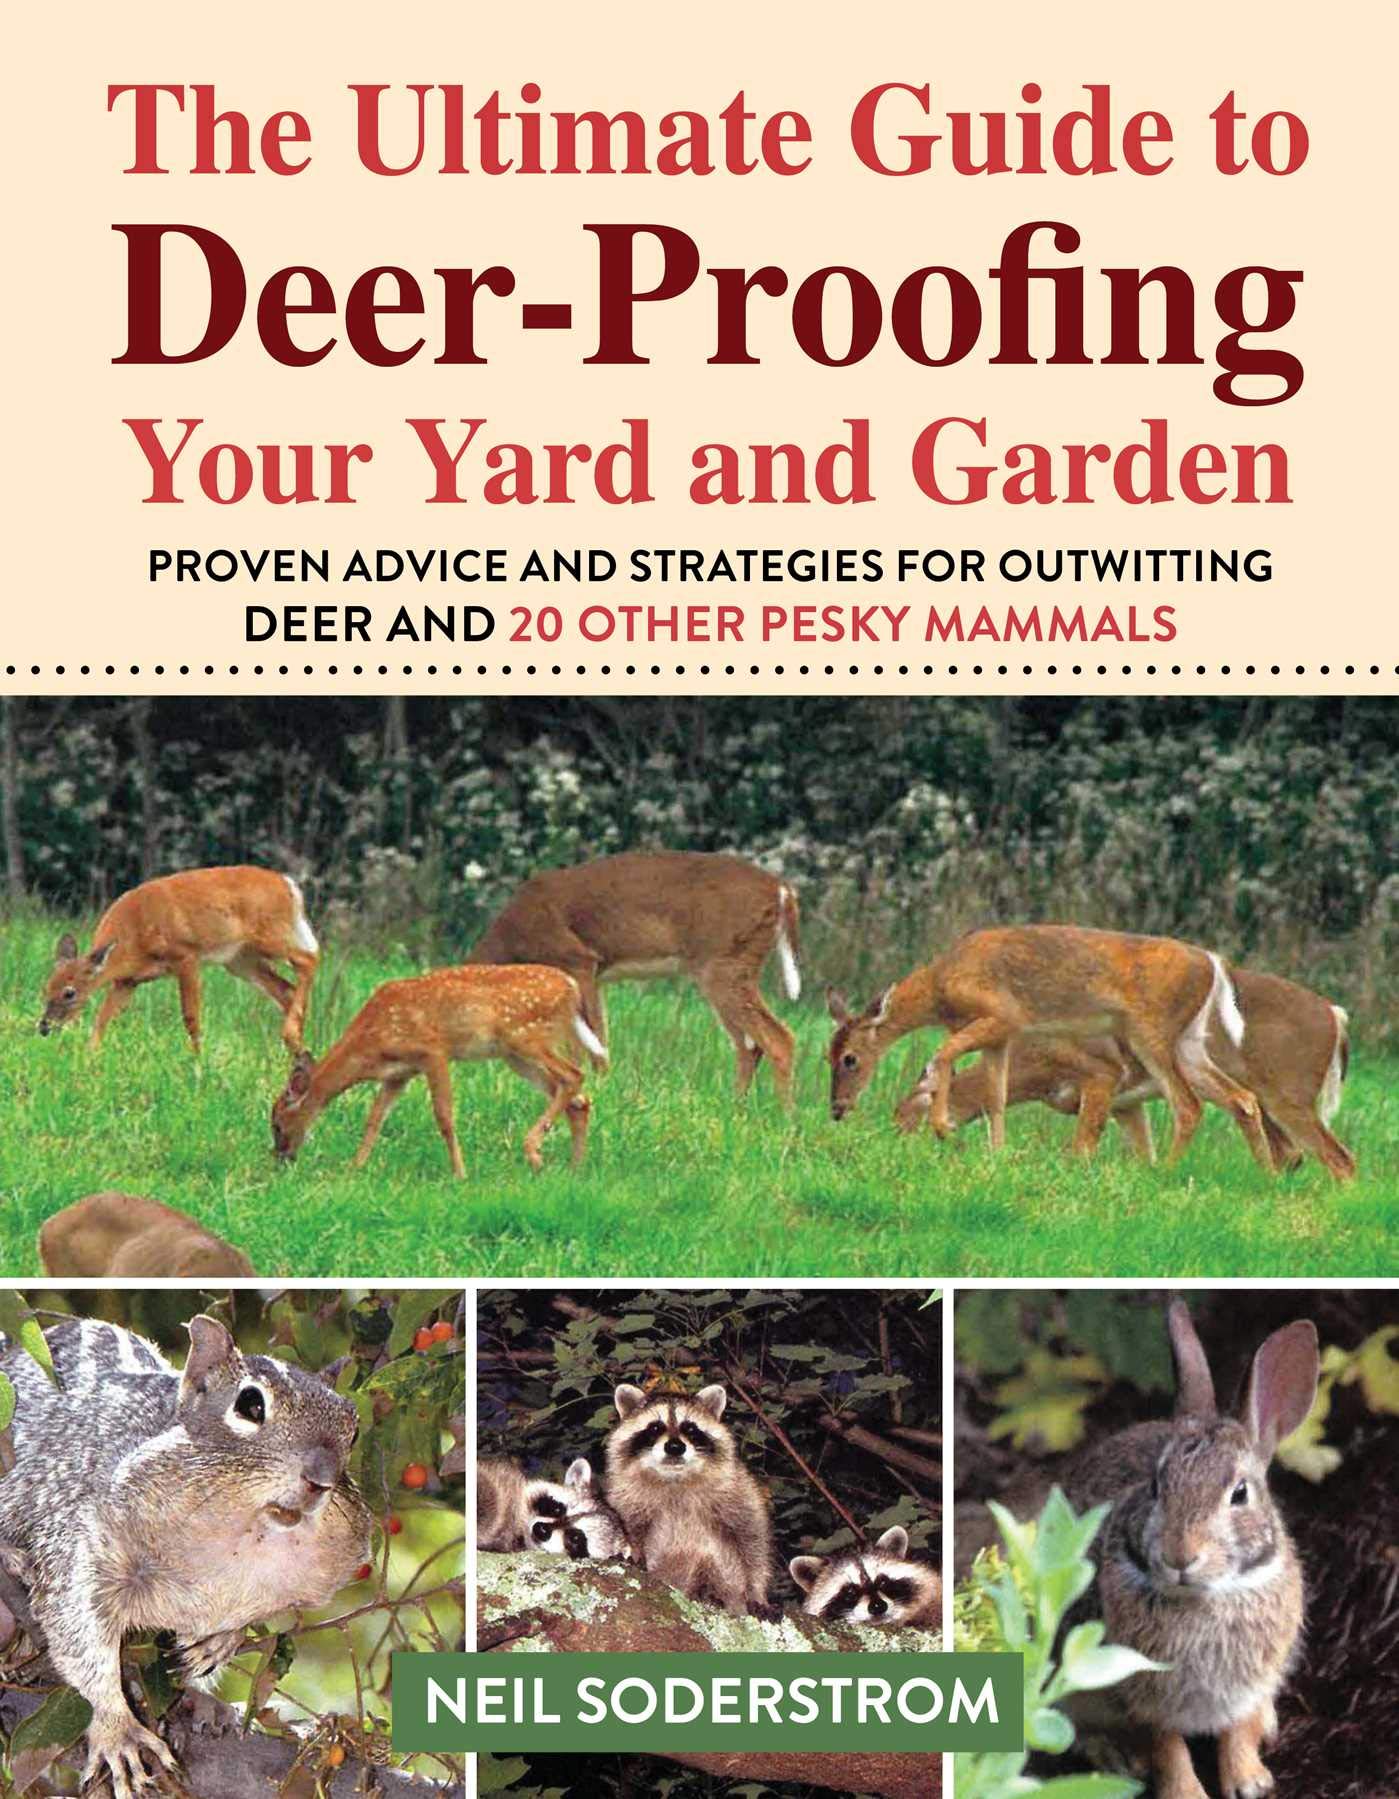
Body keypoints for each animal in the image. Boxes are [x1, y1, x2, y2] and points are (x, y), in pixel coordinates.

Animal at [39, 866, 319, 1054]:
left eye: (69, 992)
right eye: (45, 989)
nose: (44, 1027)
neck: (134, 939)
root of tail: (290, 887)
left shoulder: (186, 956)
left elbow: (191, 1017)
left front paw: (198, 1062)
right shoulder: (127, 981)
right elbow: (103, 1019)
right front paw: (89, 1059)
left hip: (271, 935)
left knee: (309, 957)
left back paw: (291, 1037)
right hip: (240, 959)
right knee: (285, 989)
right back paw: (299, 1052)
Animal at [270, 963, 605, 1176]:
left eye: (277, 1123)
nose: (281, 1158)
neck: (370, 1044)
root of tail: (573, 988)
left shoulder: (432, 1052)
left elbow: (444, 1116)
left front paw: (460, 1173)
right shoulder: (399, 1074)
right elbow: (375, 1119)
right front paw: (355, 1168)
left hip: (525, 1038)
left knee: (574, 1075)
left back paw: (534, 1152)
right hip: (514, 1055)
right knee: (579, 1099)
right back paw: (573, 1169)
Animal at [465, 851, 801, 1102]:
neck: (512, 938)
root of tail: (782, 890)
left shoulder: (577, 960)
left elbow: (588, 1043)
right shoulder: (592, 977)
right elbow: (593, 1040)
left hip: (722, 963)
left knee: (777, 1038)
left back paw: (784, 1118)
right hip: (729, 965)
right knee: (749, 1045)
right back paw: (737, 1107)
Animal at [826, 924, 1276, 1171]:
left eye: (850, 1058)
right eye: (825, 1056)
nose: (837, 1109)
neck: (941, 985)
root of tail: (1215, 963)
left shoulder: (1003, 1018)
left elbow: (943, 1056)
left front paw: (944, 1128)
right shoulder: (1002, 1038)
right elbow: (995, 1097)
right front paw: (997, 1156)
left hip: (1151, 1031)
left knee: (1188, 1105)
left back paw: (1165, 1172)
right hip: (1189, 1045)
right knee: (1242, 1100)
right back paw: (1267, 1177)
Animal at [893, 967, 1355, 1180]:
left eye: (909, 1105)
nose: (892, 1133)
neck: (1035, 1067)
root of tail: (1336, 1015)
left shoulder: (1101, 1074)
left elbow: (1081, 1149)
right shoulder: (1126, 1104)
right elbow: (1140, 1152)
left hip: (1289, 1093)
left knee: (1340, 1158)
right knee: (1293, 1152)